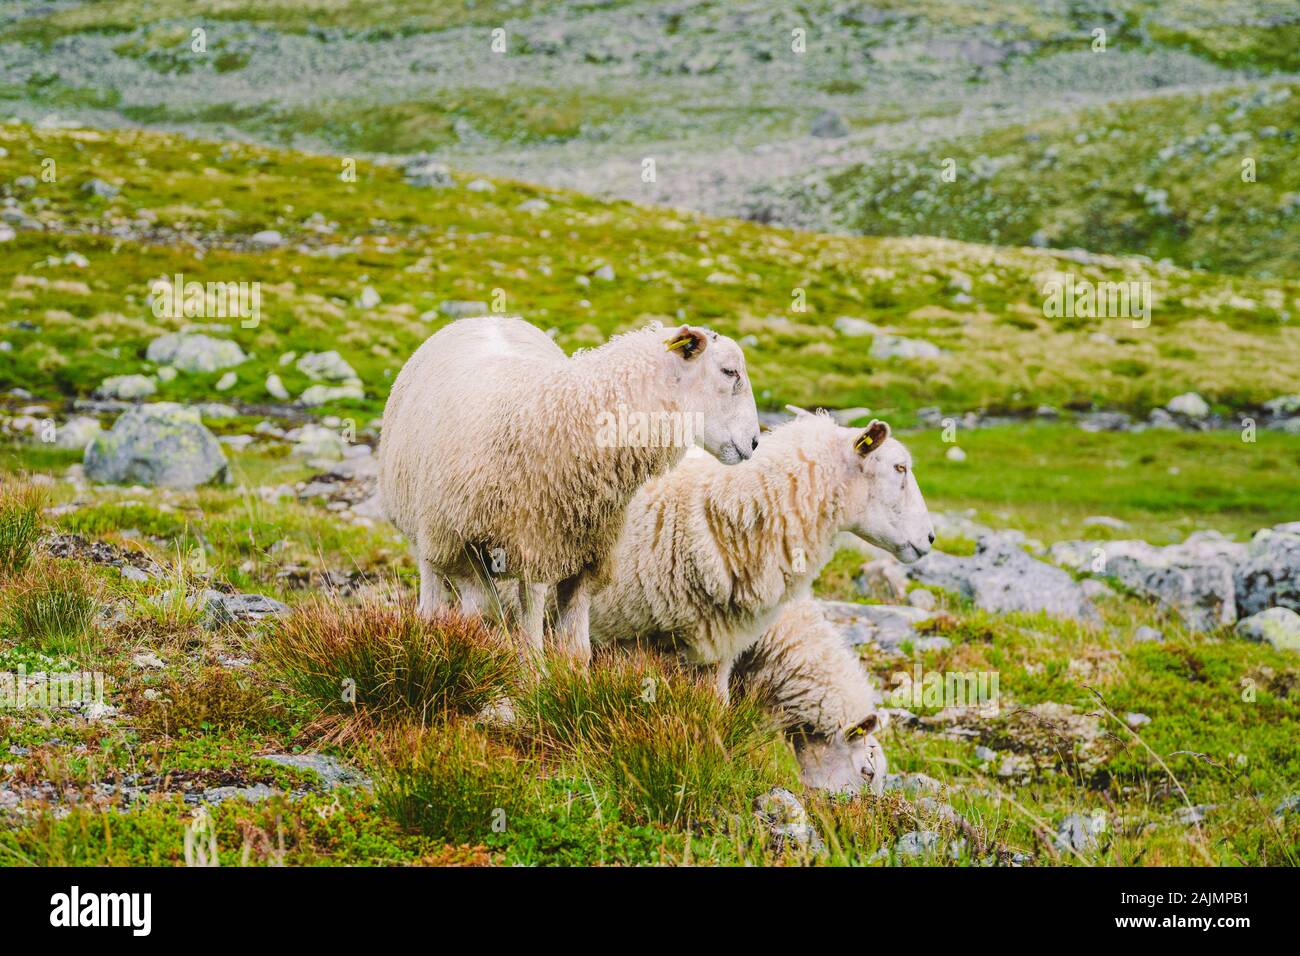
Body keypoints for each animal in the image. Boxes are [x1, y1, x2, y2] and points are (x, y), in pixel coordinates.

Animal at [377, 315, 760, 663]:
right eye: (729, 372)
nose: (755, 443)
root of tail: (486, 316)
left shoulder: (586, 558)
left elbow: (577, 649)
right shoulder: (523, 547)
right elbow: (527, 640)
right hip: (434, 534)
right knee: (438, 598)